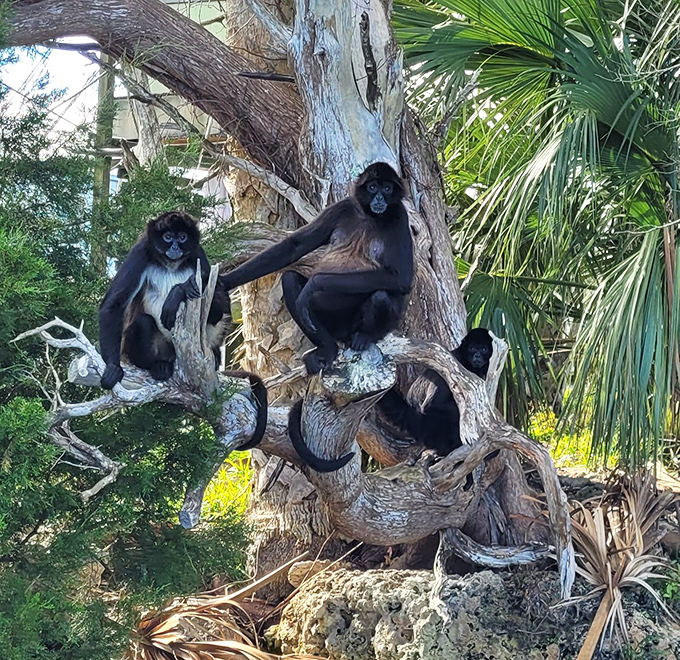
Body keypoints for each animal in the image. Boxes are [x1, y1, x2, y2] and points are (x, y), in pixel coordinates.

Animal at [98, 210, 267, 449]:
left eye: (182, 237)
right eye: (168, 237)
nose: (175, 247)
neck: (171, 264)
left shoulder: (197, 254)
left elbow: (221, 300)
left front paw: (180, 290)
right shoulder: (141, 252)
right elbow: (114, 304)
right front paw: (113, 368)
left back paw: (212, 354)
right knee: (142, 322)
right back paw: (158, 365)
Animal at [219, 163, 413, 375]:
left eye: (387, 188)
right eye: (372, 187)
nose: (379, 198)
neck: (369, 216)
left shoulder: (399, 215)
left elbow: (400, 279)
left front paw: (314, 284)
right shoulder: (343, 206)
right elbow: (294, 246)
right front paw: (225, 282)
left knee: (381, 295)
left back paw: (364, 337)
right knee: (290, 280)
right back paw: (328, 349)